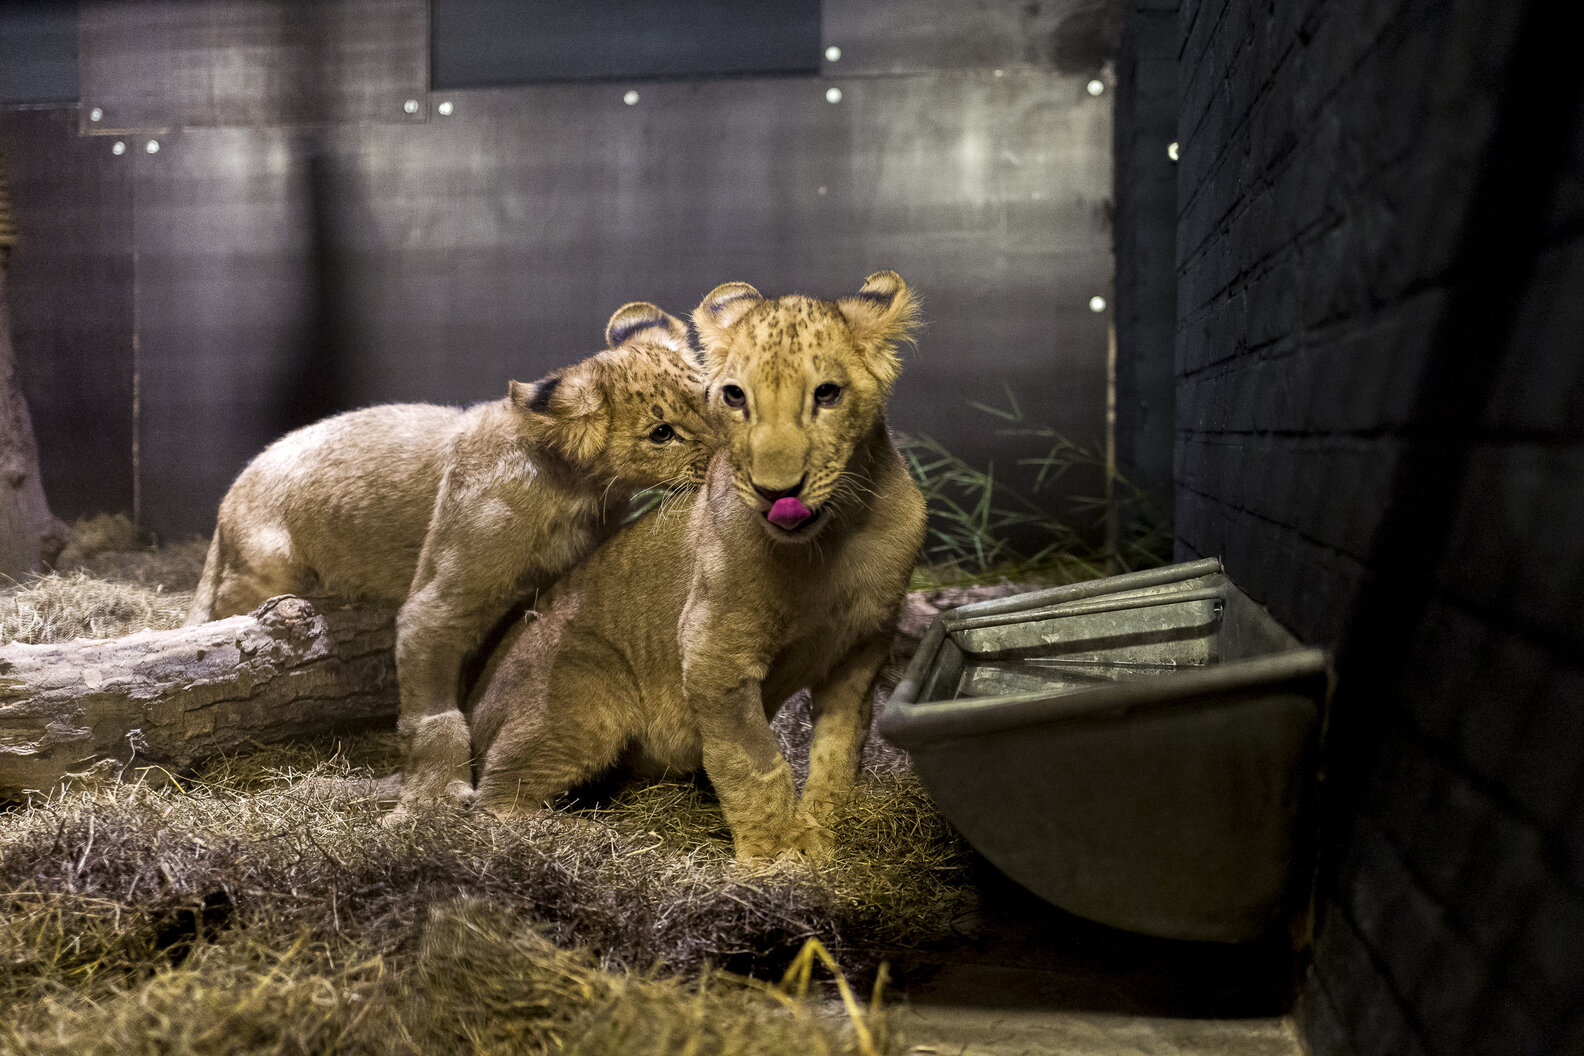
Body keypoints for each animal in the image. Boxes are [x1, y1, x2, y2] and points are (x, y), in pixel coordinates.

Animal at [183, 303, 713, 816]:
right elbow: (434, 712)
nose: (724, 454)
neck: (578, 489)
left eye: (710, 401)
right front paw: (434, 796)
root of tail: (228, 501)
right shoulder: (438, 601)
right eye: (661, 433)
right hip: (264, 564)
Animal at [467, 271, 927, 859]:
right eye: (735, 395)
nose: (776, 491)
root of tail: (473, 704)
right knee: (493, 803)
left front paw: (823, 834)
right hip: (584, 692)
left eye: (827, 393)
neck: (834, 540)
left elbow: (837, 754)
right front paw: (770, 855)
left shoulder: (861, 654)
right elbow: (754, 763)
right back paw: (600, 834)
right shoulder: (712, 650)